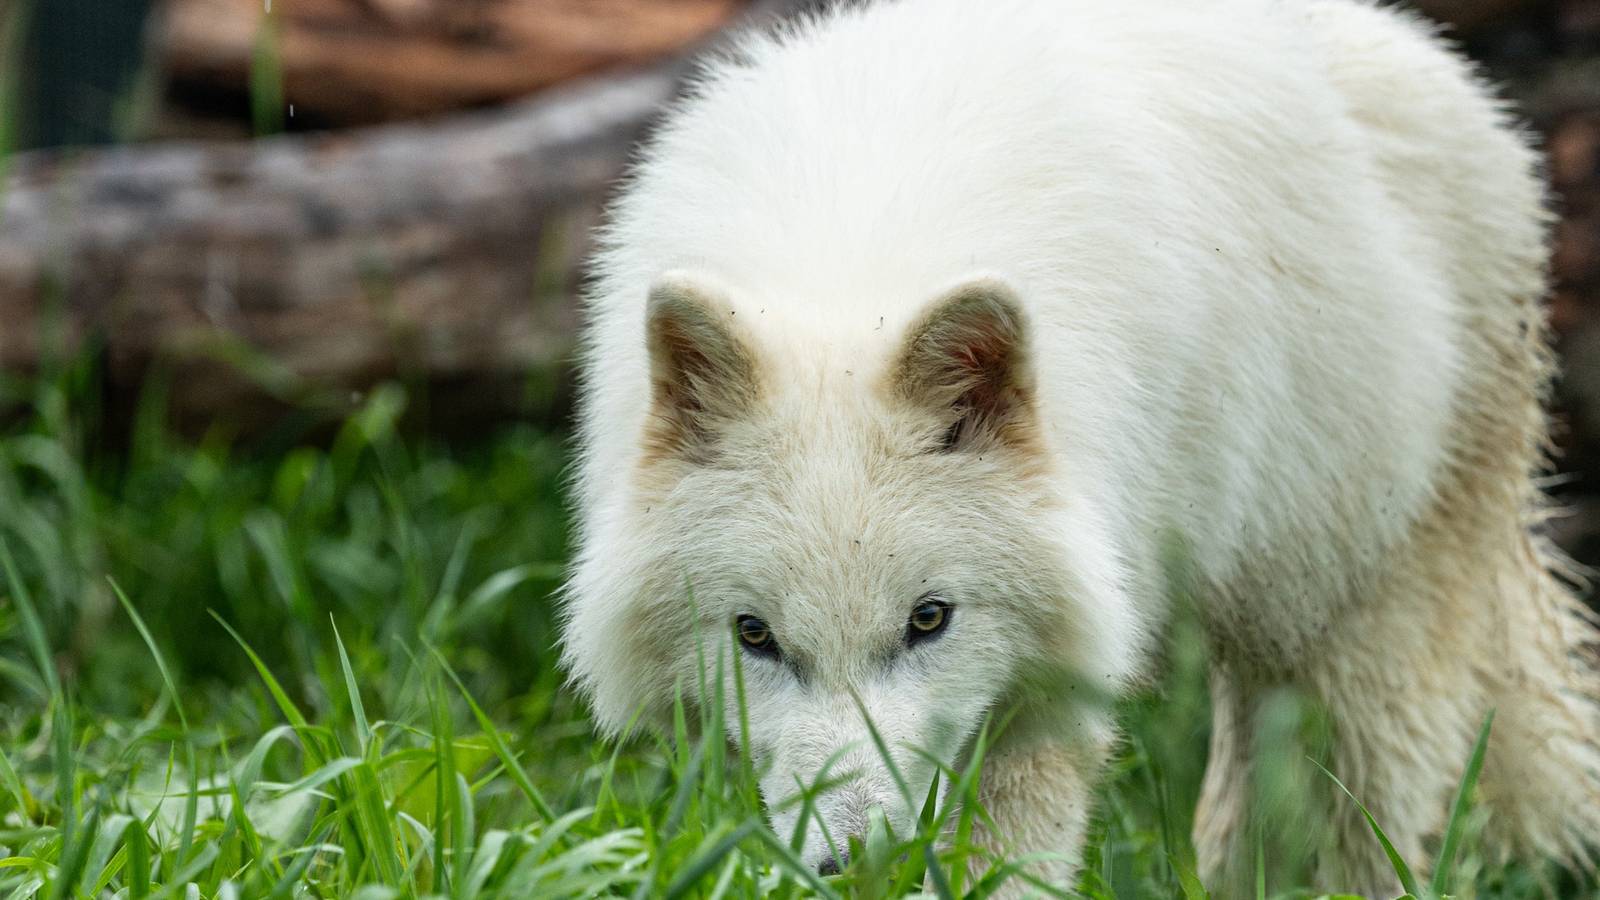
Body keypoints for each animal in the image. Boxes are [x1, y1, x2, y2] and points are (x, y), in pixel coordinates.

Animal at [559, 0, 1600, 893]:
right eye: (756, 636)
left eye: (929, 620)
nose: (856, 863)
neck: (849, 269)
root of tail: (1437, 58)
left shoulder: (1049, 694)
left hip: (1350, 618)